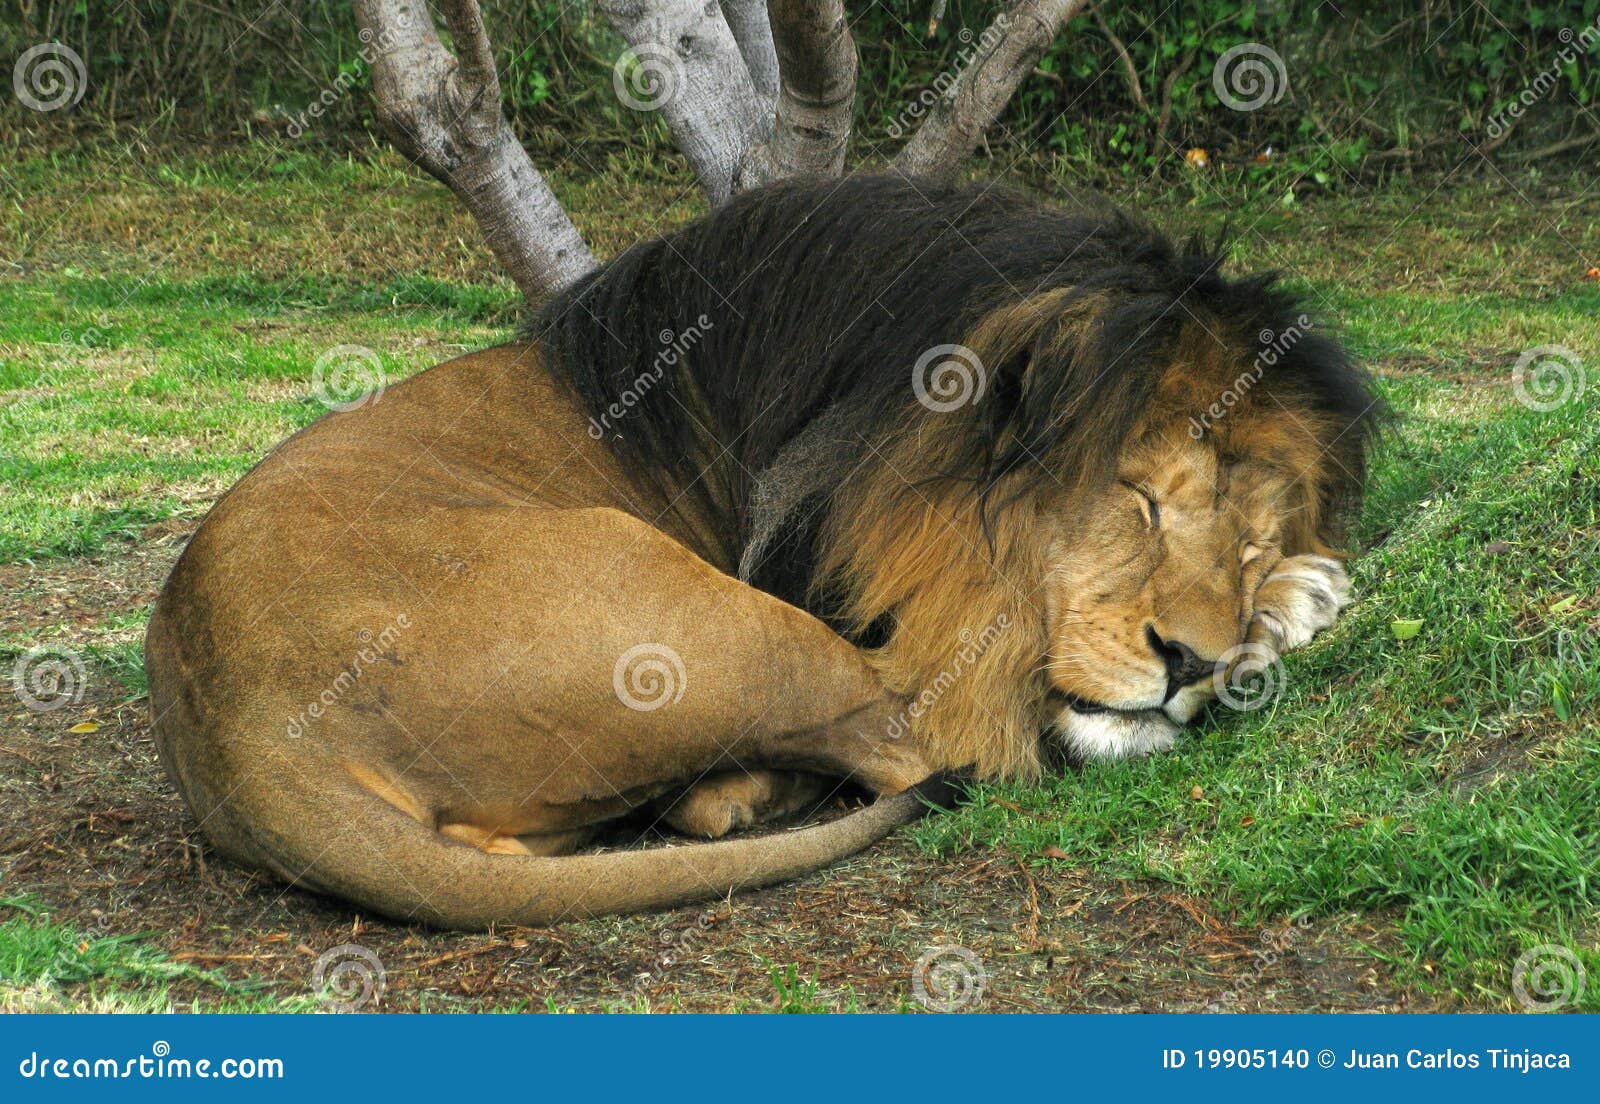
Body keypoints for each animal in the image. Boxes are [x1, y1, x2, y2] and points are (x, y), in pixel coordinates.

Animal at [146, 175, 1380, 930]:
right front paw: (1297, 599)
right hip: (697, 602)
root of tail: (256, 746)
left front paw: (1281, 592)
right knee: (920, 748)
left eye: (1249, 535)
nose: (1191, 662)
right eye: (1138, 498)